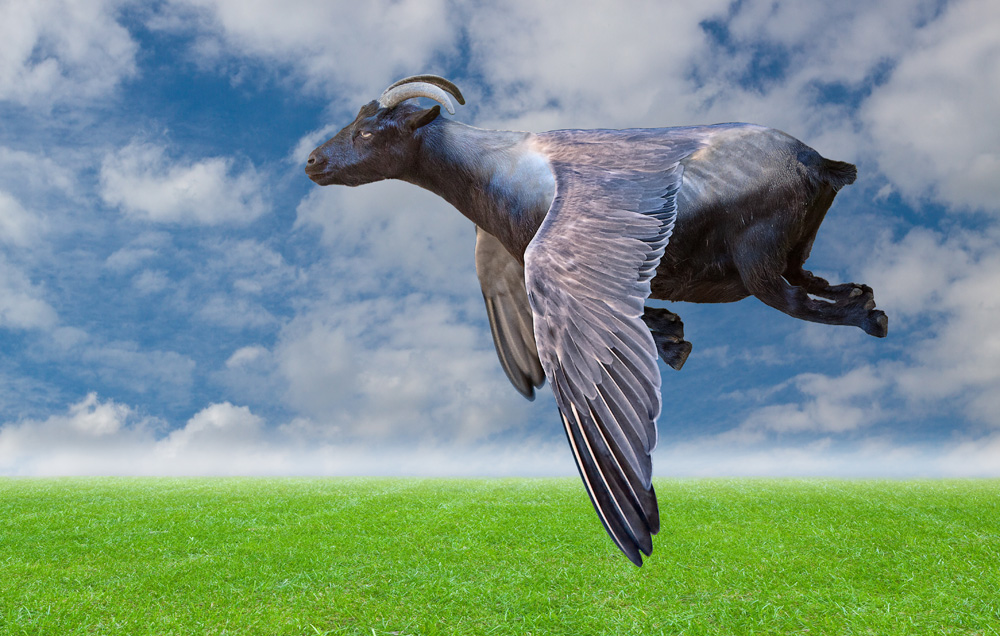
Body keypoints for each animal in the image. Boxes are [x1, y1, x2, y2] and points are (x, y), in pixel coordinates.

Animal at [305, 75, 887, 566]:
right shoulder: (514, 251)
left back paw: (873, 320)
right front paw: (672, 337)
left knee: (799, 302)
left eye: (367, 130)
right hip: (789, 252)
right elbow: (495, 265)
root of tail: (816, 161)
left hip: (758, 257)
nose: (311, 161)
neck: (499, 168)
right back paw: (866, 305)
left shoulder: (556, 263)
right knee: (821, 284)